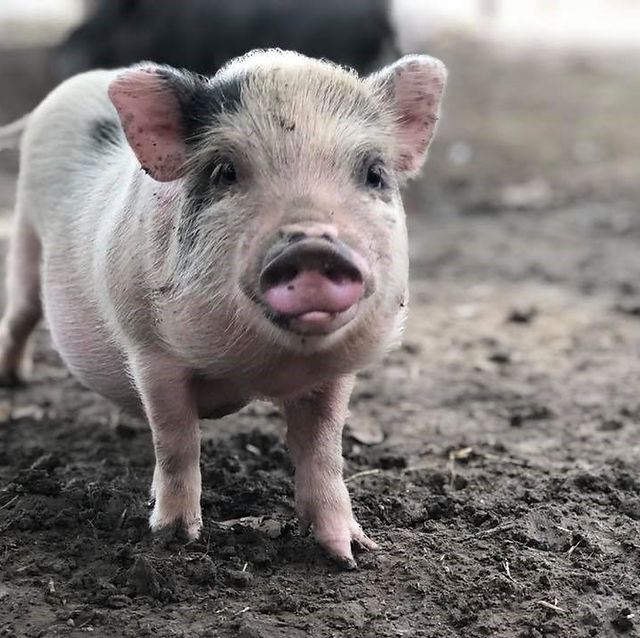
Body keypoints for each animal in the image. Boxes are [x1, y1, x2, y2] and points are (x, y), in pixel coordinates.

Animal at [0, 49, 446, 568]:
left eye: (374, 173)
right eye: (225, 172)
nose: (312, 246)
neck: (259, 369)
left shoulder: (334, 376)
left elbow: (323, 450)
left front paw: (351, 554)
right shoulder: (150, 351)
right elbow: (176, 441)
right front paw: (174, 539)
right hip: (25, 237)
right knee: (21, 314)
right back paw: (14, 380)